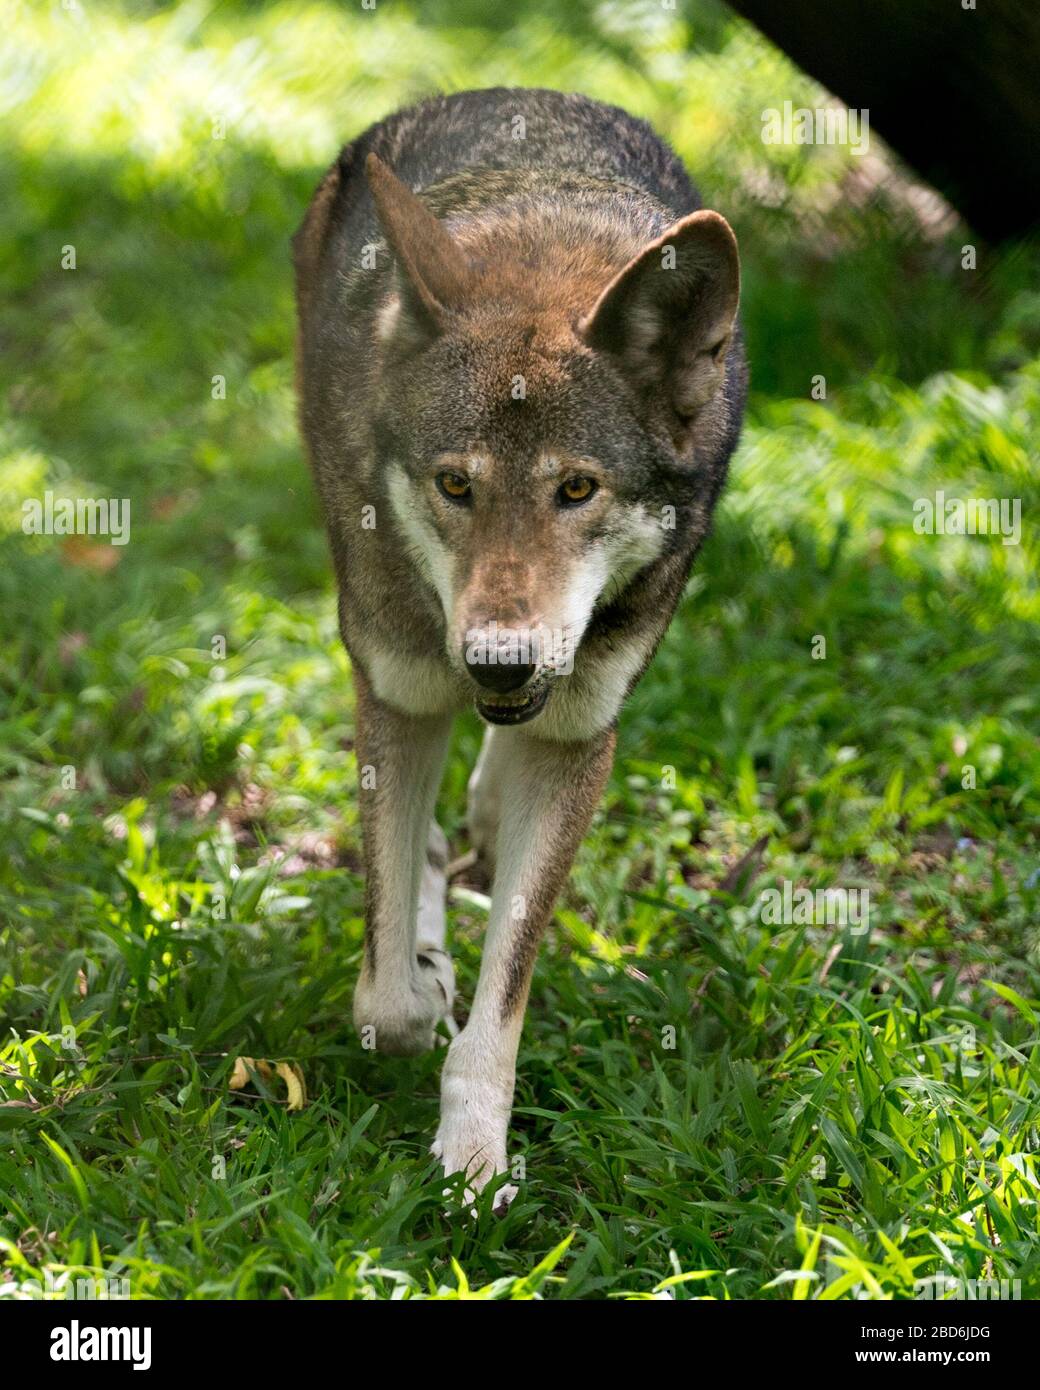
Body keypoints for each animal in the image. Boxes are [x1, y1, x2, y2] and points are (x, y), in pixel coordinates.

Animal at [293, 87, 747, 1210]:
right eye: (455, 485)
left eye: (576, 488)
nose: (498, 660)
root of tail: (518, 95)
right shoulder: (400, 689)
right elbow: (386, 1000)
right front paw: (417, 980)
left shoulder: (580, 726)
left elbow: (505, 989)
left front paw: (473, 1156)